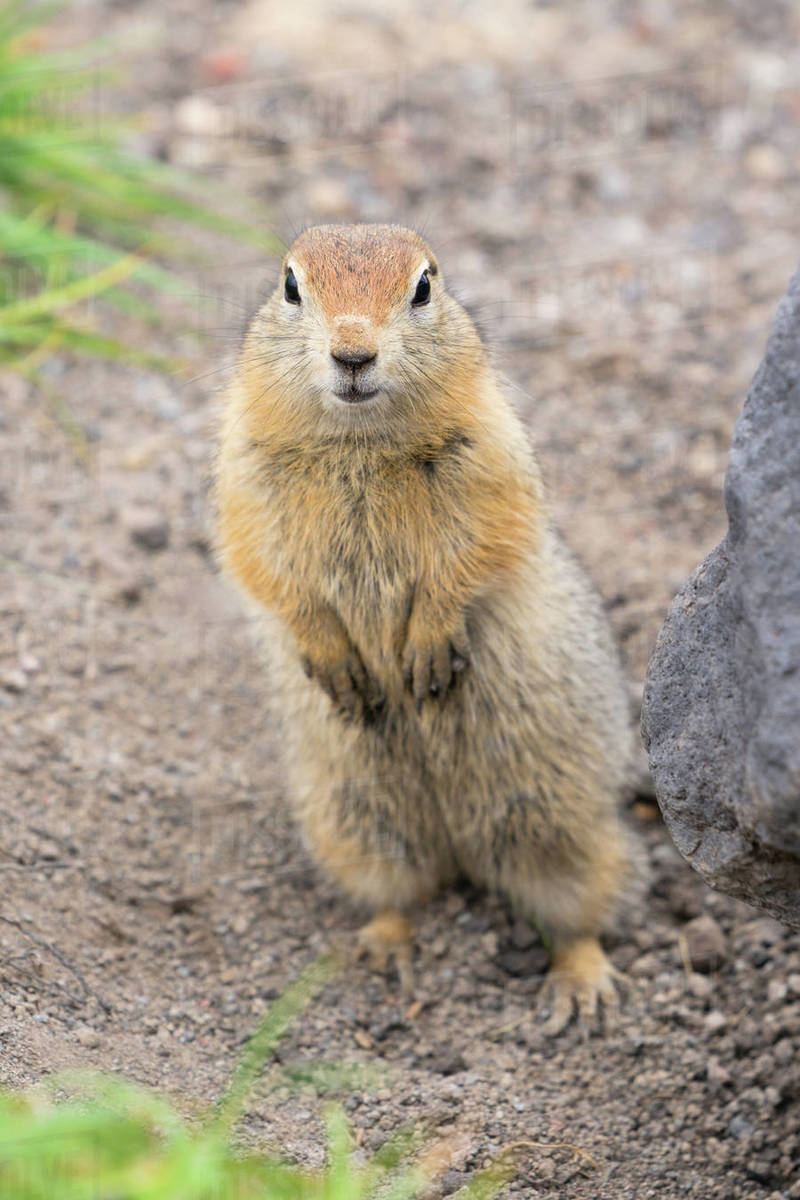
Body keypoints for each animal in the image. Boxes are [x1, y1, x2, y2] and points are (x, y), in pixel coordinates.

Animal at [215, 223, 636, 1033]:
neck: (359, 440)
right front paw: (339, 662)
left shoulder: (491, 452)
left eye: (423, 288)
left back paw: (581, 986)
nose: (352, 354)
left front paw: (428, 651)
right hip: (351, 817)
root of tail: (460, 845)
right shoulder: (243, 473)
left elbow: (480, 546)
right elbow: (264, 565)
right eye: (290, 285)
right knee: (399, 890)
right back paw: (384, 947)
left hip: (559, 814)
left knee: (587, 901)